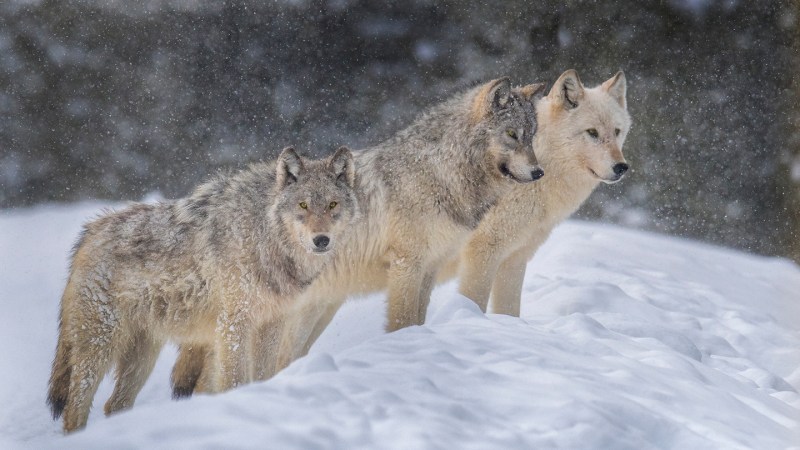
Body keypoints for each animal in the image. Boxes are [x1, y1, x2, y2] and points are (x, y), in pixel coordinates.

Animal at [47, 146, 360, 433]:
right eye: (303, 206)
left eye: (332, 205)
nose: (321, 240)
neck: (264, 236)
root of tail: (89, 232)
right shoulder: (233, 325)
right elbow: (234, 379)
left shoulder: (272, 324)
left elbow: (262, 374)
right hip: (100, 347)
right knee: (74, 411)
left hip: (142, 357)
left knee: (114, 405)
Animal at [169, 78, 548, 397]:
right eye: (512, 134)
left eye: (532, 135)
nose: (539, 172)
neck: (441, 172)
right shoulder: (406, 265)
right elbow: (402, 322)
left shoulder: (430, 267)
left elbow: (419, 320)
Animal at [455, 70, 631, 315]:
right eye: (592, 132)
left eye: (617, 131)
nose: (622, 167)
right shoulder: (482, 253)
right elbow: (474, 302)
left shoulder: (515, 258)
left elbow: (509, 311)